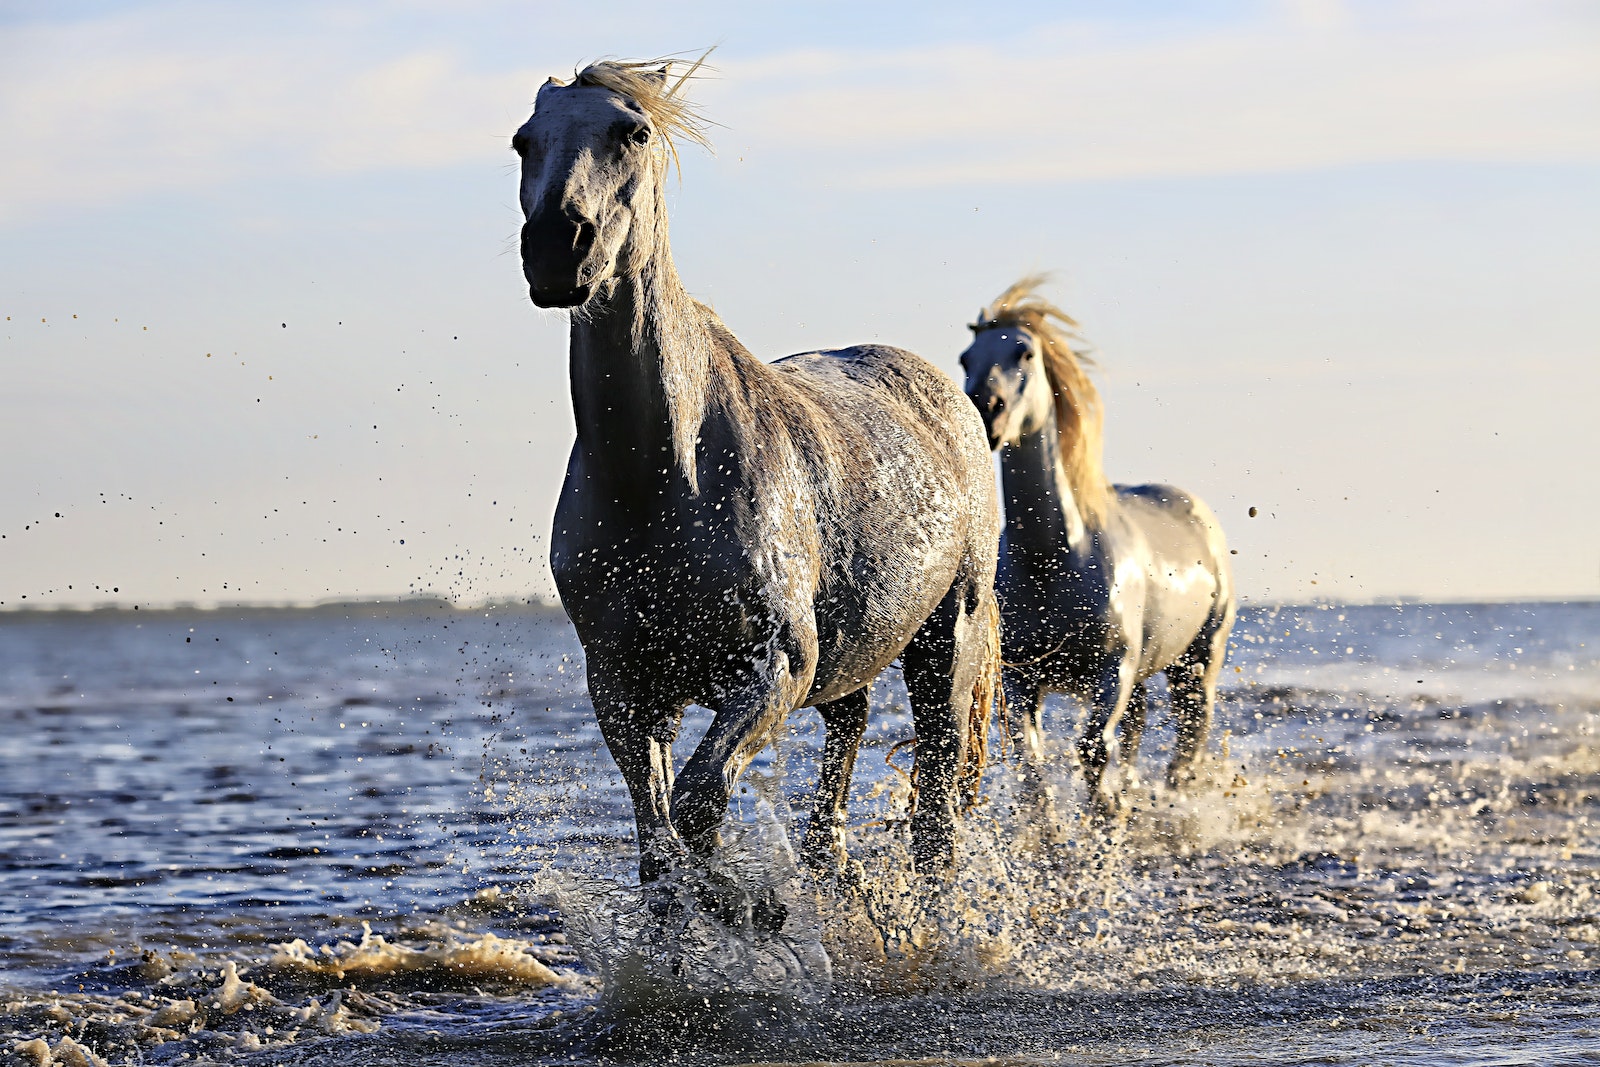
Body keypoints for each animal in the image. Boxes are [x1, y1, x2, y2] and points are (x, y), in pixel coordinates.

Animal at [513, 56, 1002, 908]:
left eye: (631, 132)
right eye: (523, 141)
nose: (556, 247)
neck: (661, 475)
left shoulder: (775, 666)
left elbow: (699, 803)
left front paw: (747, 908)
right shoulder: (624, 684)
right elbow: (660, 841)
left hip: (948, 643)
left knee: (936, 811)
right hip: (854, 659)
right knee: (845, 752)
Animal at [958, 276, 1235, 819]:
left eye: (1024, 352)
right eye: (965, 358)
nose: (985, 409)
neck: (1053, 559)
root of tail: (1197, 512)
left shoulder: (1113, 669)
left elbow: (1092, 750)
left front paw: (1103, 817)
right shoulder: (1024, 678)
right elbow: (1032, 762)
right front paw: (1055, 830)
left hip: (1197, 662)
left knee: (1190, 734)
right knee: (1139, 727)